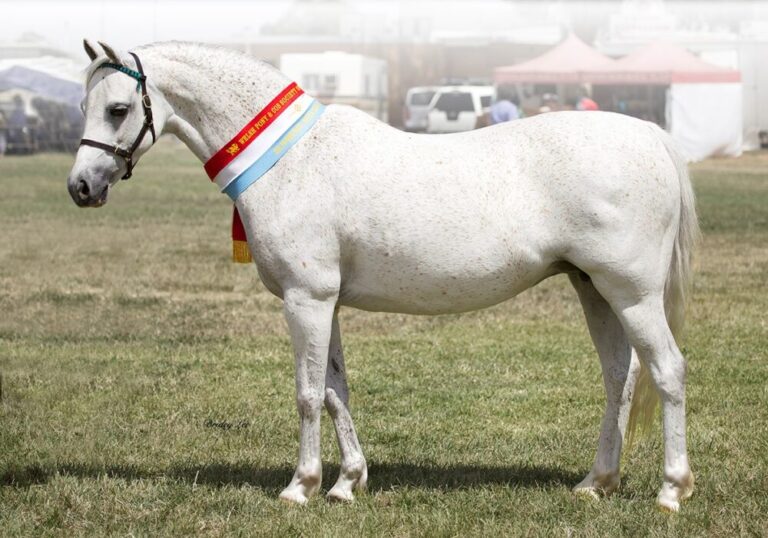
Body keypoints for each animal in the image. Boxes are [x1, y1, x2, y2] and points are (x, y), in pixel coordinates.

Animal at [67, 40, 698, 511]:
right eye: (83, 106)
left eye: (118, 109)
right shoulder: (326, 302)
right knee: (619, 376)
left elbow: (306, 394)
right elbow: (335, 391)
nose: (81, 186)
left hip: (632, 293)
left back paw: (672, 490)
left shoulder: (306, 299)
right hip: (594, 289)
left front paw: (300, 487)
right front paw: (347, 483)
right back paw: (596, 483)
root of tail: (651, 135)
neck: (290, 159)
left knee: (666, 370)